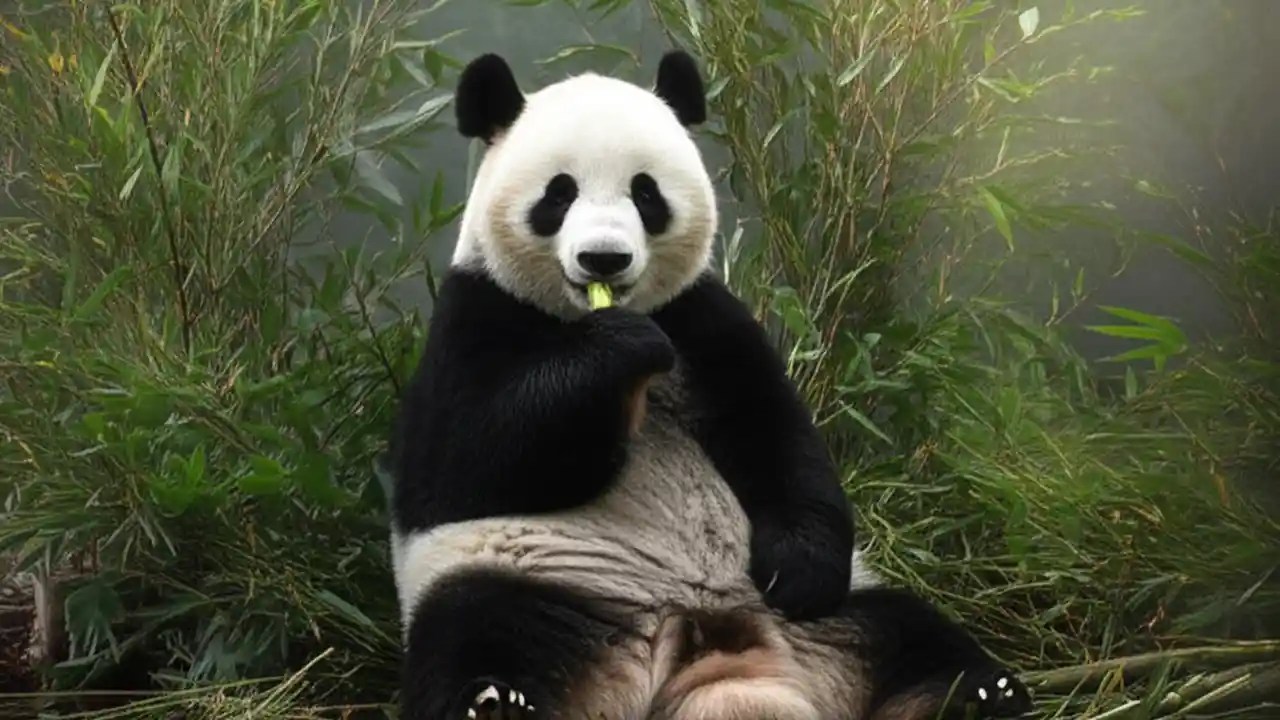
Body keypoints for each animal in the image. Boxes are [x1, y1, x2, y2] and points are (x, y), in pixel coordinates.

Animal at [385, 49, 1035, 720]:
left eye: (646, 193)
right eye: (558, 194)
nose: (603, 260)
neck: (581, 315)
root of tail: (717, 650)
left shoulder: (703, 318)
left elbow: (776, 434)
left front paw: (799, 570)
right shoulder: (472, 317)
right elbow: (468, 459)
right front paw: (618, 351)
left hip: (854, 610)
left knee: (916, 638)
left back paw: (977, 691)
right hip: (539, 588)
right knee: (477, 633)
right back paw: (495, 699)